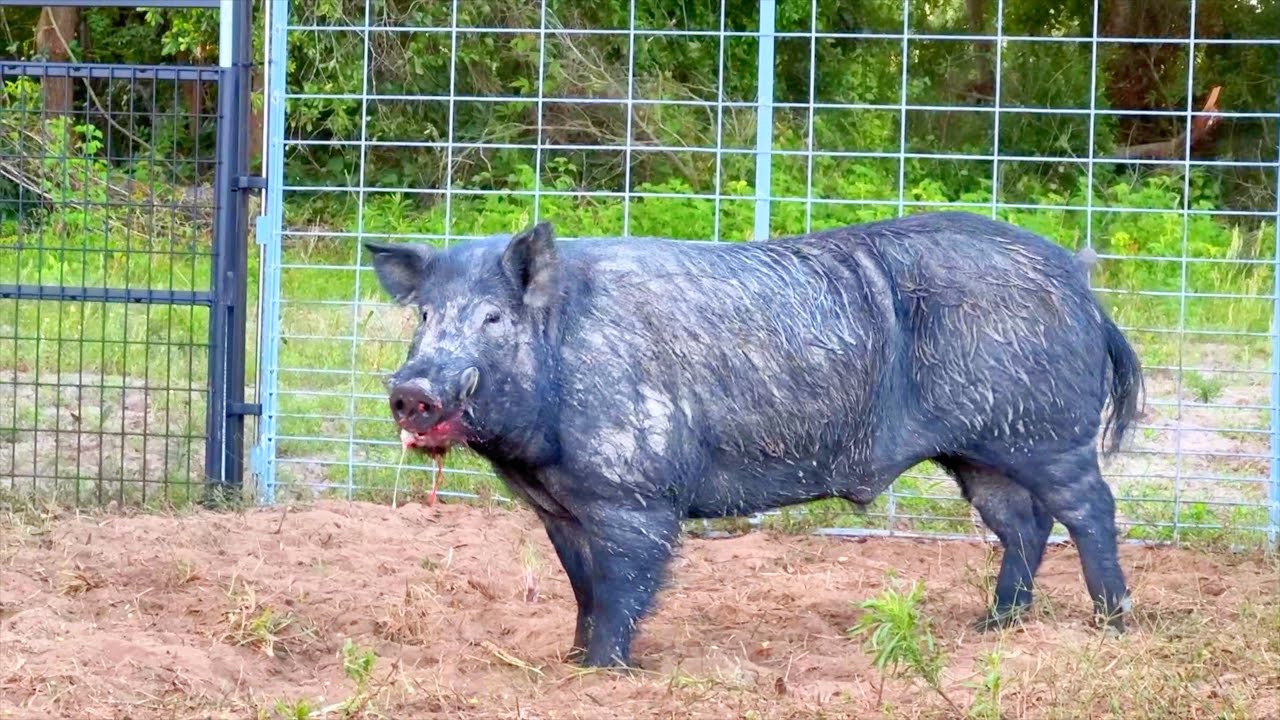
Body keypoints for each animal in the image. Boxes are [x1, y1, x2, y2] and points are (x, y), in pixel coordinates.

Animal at [365, 210, 1144, 669]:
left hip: (1051, 434)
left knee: (1092, 511)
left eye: (493, 318)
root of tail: (1083, 288)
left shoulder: (635, 494)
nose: (411, 390)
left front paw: (607, 671)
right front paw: (573, 661)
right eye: (425, 314)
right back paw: (994, 627)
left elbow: (624, 584)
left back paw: (1112, 623)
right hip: (981, 452)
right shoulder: (559, 508)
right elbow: (582, 586)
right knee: (1023, 524)